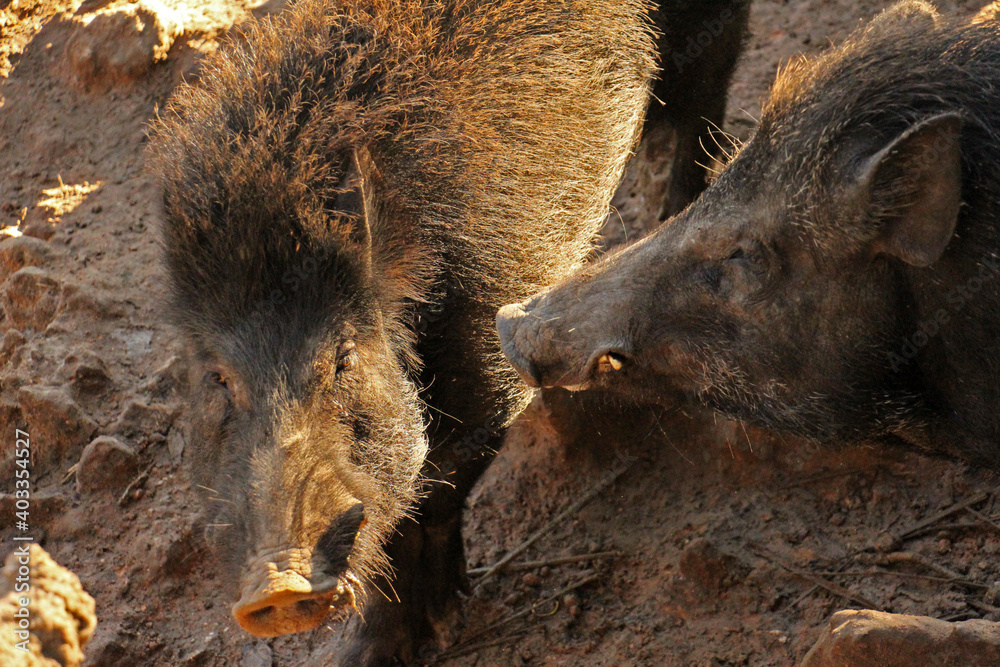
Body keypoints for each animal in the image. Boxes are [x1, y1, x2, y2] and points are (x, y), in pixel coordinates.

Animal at [149, 0, 747, 663]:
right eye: (219, 379)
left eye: (343, 357)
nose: (277, 584)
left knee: (703, 112)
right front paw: (365, 654)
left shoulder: (492, 350)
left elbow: (436, 494)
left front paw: (440, 622)